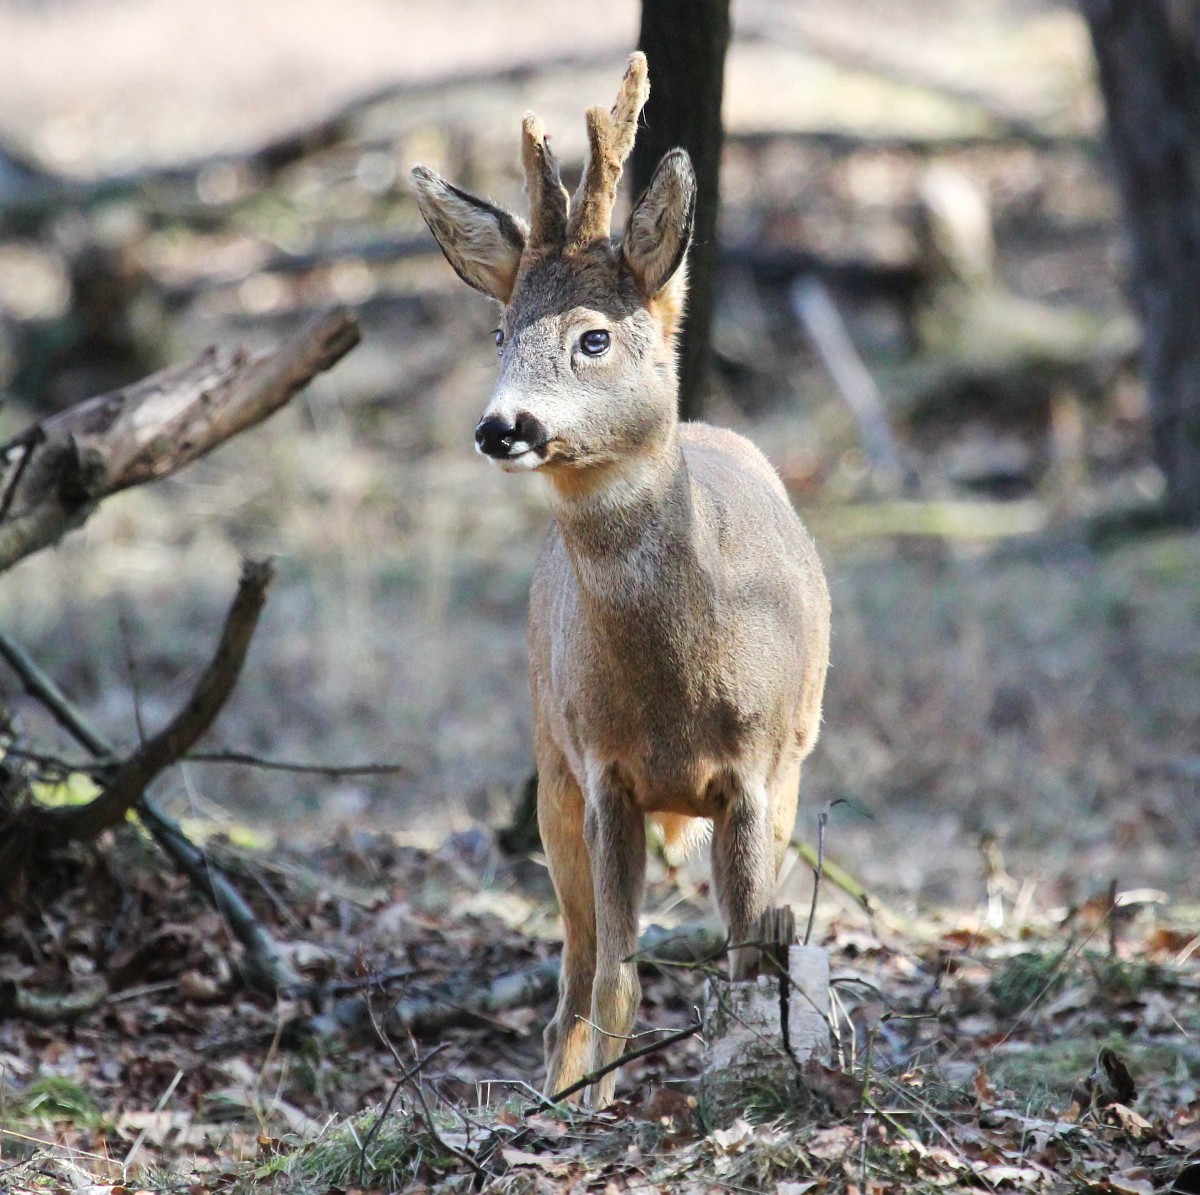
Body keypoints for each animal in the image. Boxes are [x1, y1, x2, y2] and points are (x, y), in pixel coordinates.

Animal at [411, 53, 831, 1107]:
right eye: (499, 333)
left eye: (593, 337)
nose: (502, 426)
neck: (678, 689)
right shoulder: (603, 769)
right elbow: (616, 977)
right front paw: (591, 1108)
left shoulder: (758, 771)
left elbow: (744, 954)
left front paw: (741, 1074)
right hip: (549, 763)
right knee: (572, 967)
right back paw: (550, 1092)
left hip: (793, 763)